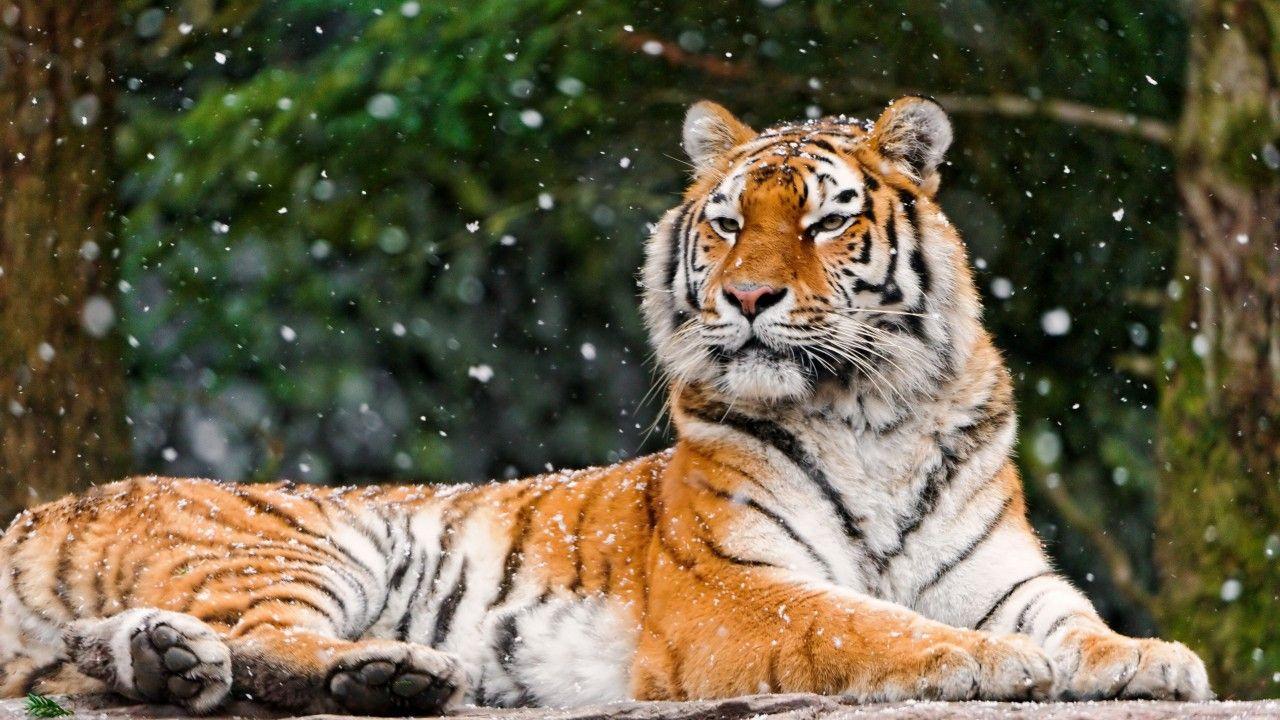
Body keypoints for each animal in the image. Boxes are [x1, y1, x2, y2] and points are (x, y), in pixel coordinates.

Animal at [0, 97, 1210, 715]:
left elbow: (1072, 618)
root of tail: (45, 507)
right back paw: (386, 672)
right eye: (727, 222)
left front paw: (1150, 658)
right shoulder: (735, 587)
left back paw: (181, 664)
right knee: (264, 644)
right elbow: (860, 621)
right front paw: (980, 661)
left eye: (824, 223)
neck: (872, 414)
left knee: (148, 652)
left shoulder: (1001, 571)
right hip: (297, 542)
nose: (749, 297)